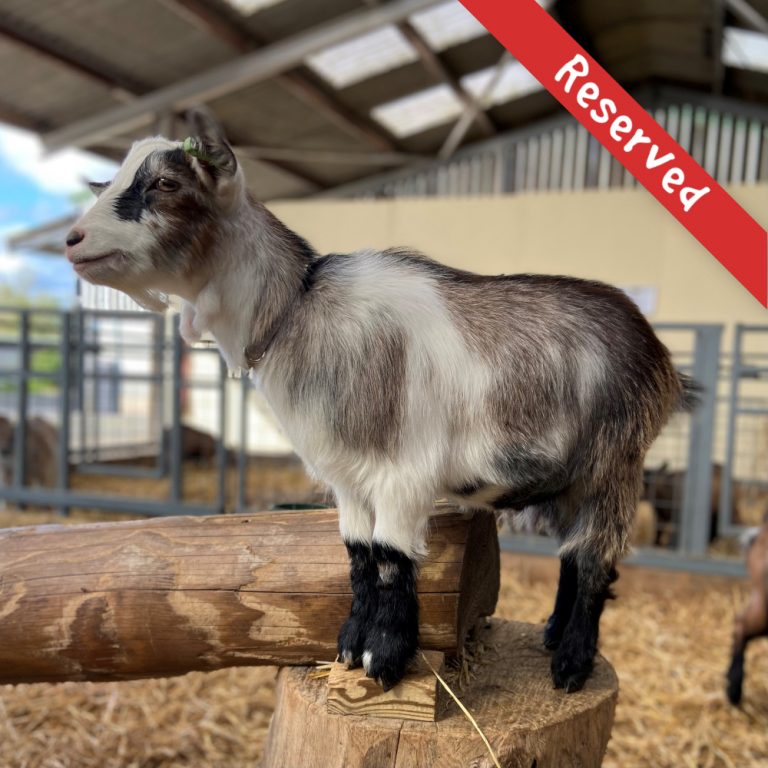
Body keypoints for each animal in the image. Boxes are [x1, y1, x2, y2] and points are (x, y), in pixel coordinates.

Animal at [65, 110, 693, 692]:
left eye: (166, 182)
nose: (73, 241)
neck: (296, 310)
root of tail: (662, 358)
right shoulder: (348, 478)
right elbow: (359, 557)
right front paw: (349, 646)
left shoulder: (402, 472)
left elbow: (392, 558)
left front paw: (385, 657)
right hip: (571, 477)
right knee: (571, 555)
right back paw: (552, 635)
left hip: (614, 463)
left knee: (594, 561)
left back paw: (571, 664)